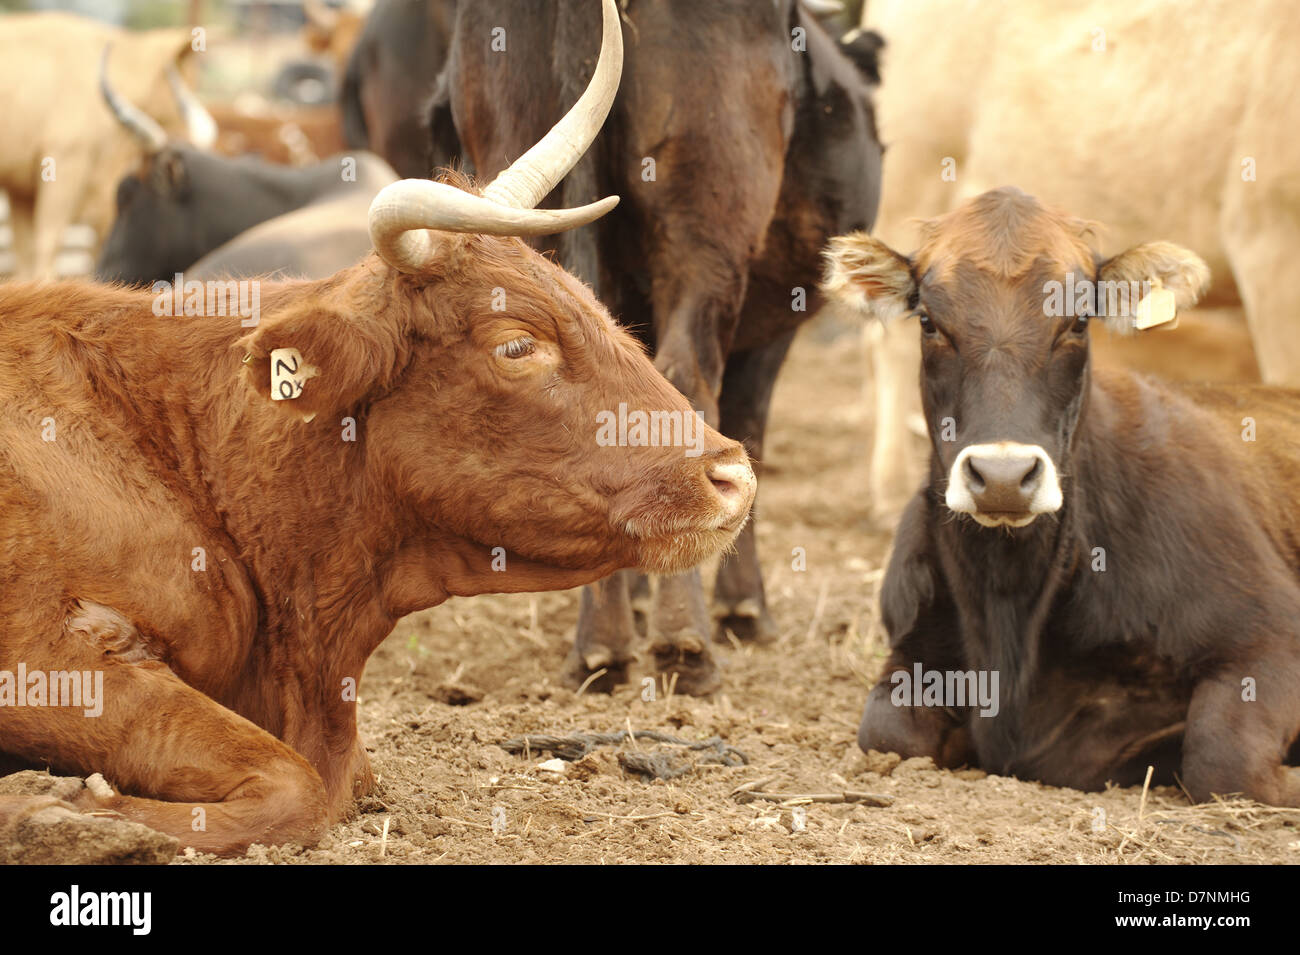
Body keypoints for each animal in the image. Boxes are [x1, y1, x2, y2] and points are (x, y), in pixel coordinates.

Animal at [443, 0, 884, 695]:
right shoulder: (771, 331)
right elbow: (746, 429)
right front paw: (741, 608)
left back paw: (601, 647)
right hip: (708, 229)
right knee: (688, 382)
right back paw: (685, 643)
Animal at [821, 187, 1300, 806]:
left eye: (1076, 323)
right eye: (929, 321)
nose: (1003, 474)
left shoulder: (1270, 630)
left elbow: (1223, 757)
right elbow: (885, 729)